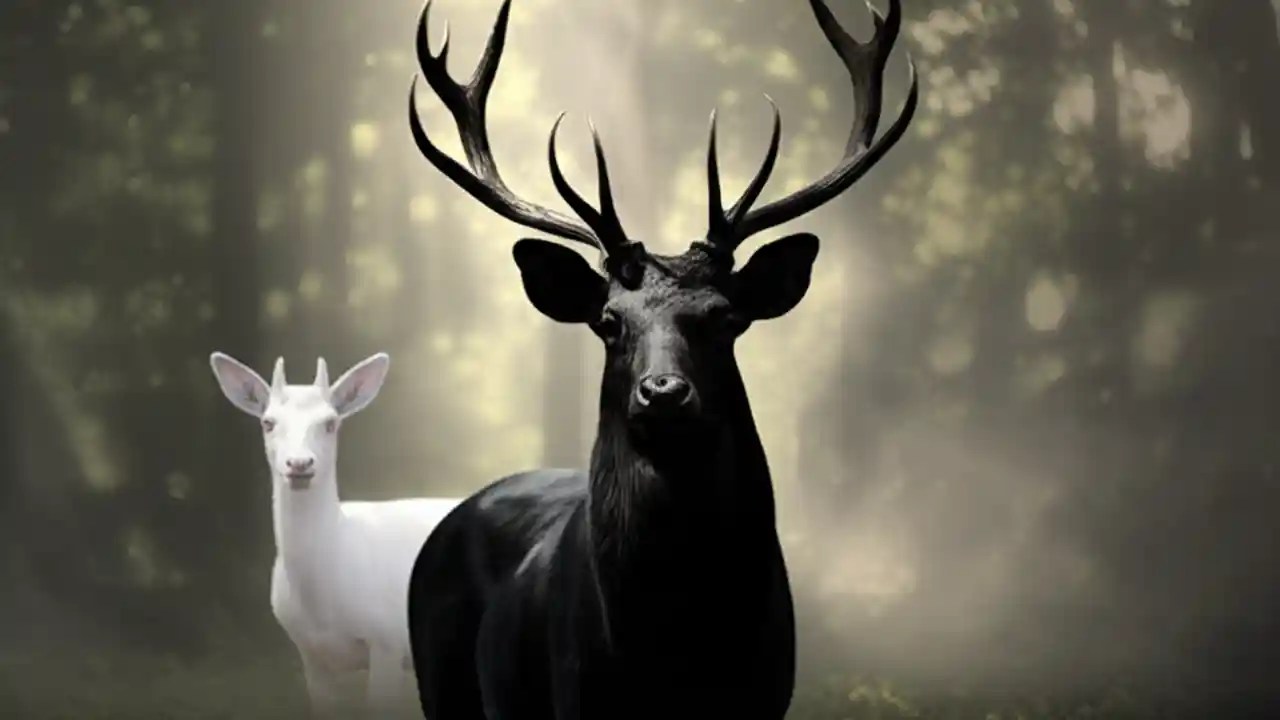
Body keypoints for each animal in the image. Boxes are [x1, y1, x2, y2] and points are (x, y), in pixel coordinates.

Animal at [401, 0, 917, 717]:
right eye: (608, 322)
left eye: (726, 317)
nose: (664, 392)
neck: (671, 649)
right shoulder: (574, 691)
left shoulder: (769, 691)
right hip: (441, 680)